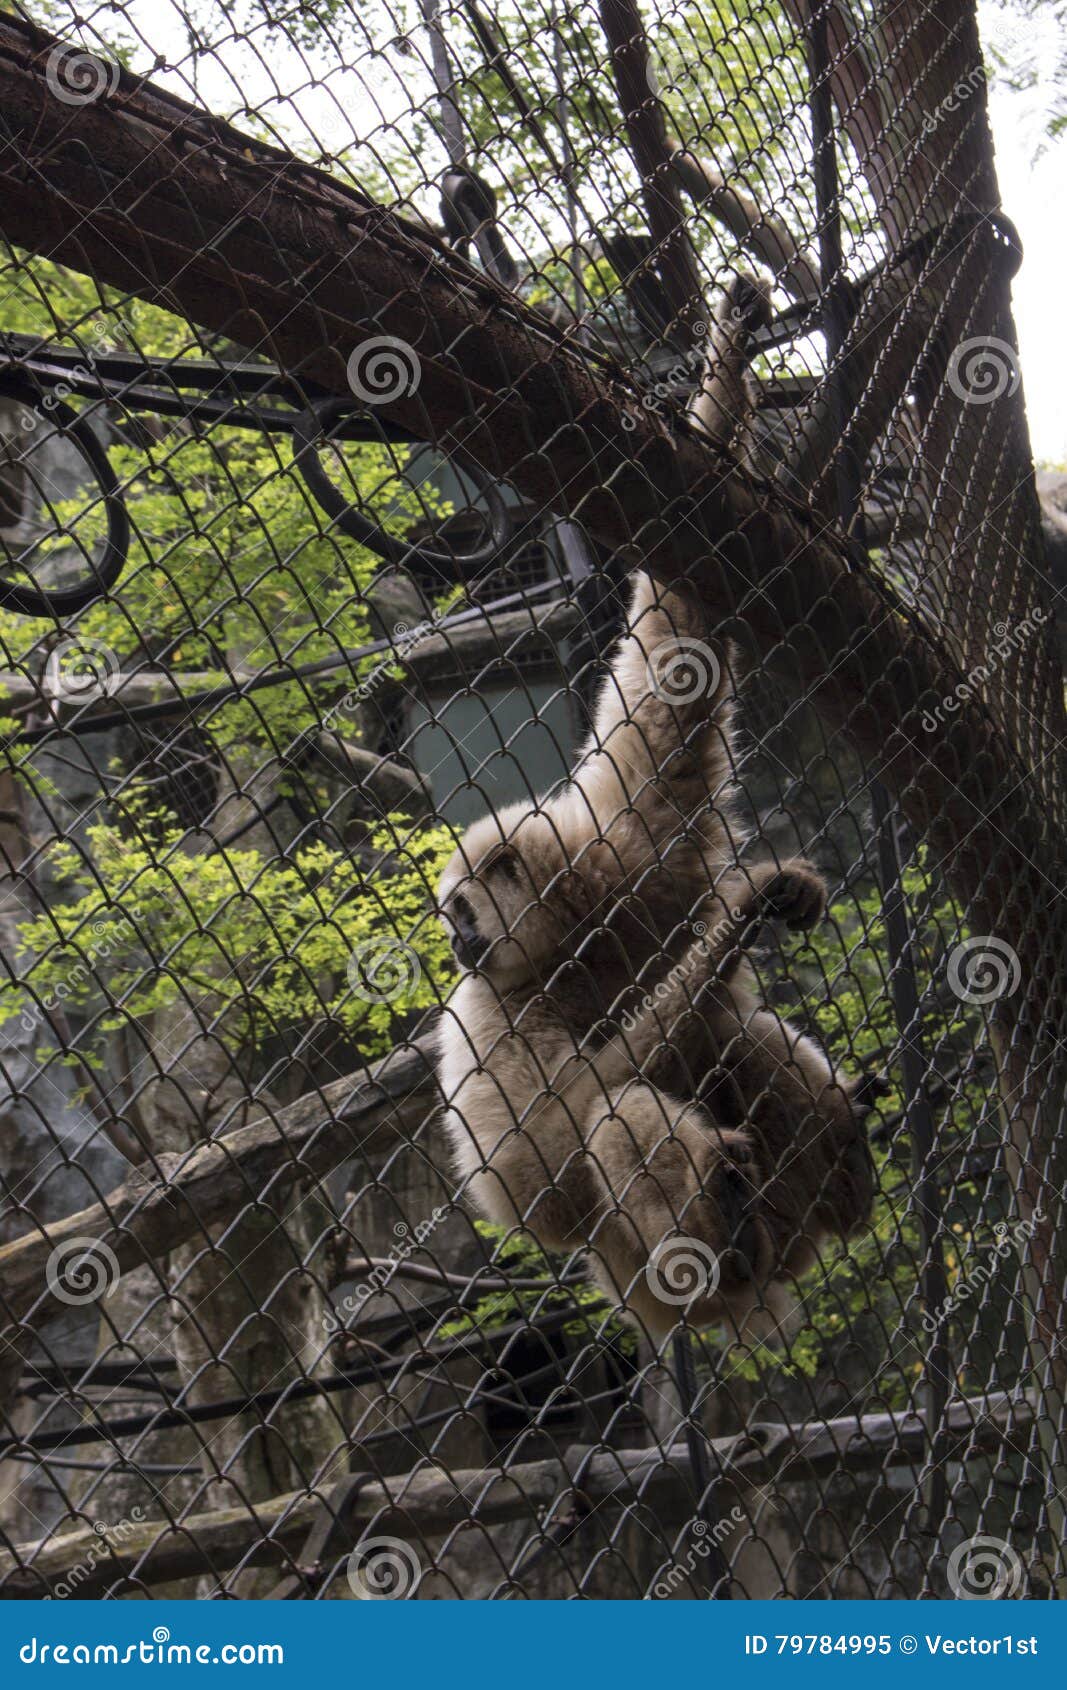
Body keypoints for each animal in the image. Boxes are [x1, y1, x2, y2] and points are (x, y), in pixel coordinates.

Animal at [433, 279, 879, 1346]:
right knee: (612, 1118)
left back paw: (841, 1174)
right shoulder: (482, 1016)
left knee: (736, 1040)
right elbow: (549, 1151)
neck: (576, 939)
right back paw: (722, 1221)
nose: (456, 942)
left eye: (461, 910)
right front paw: (741, 917)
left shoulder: (639, 839)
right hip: (641, 1277)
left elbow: (675, 643)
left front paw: (732, 343)